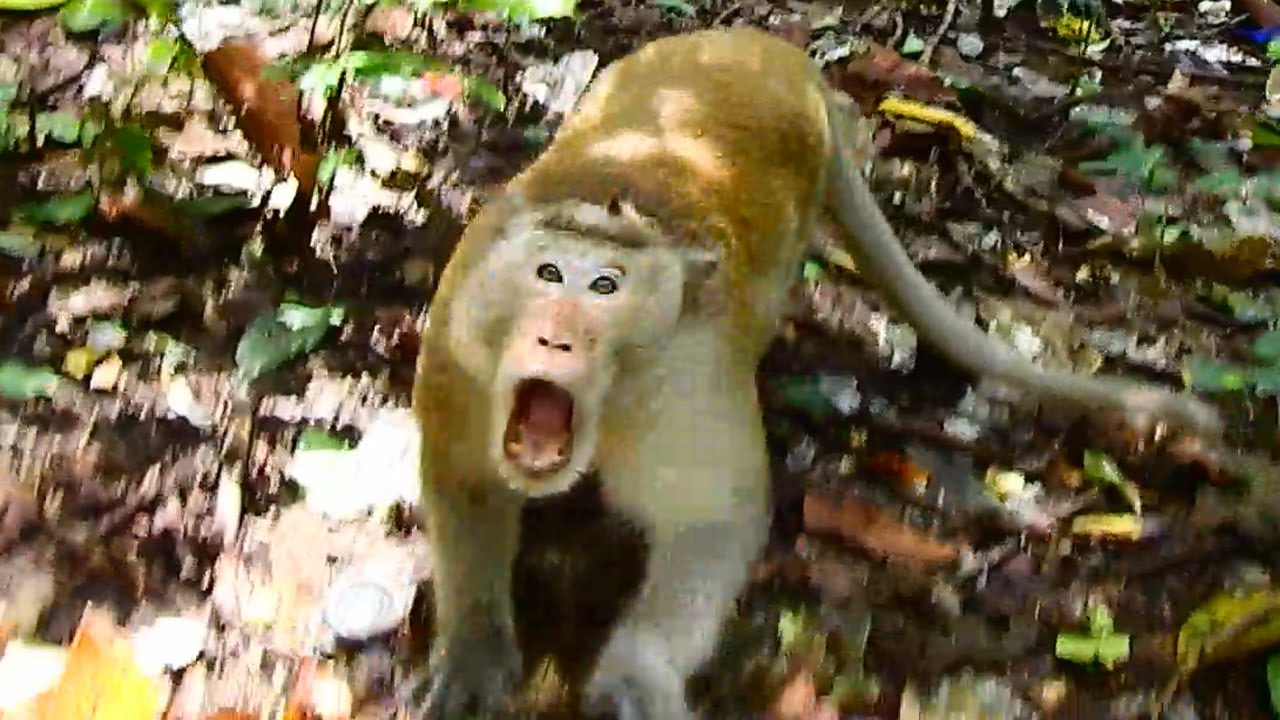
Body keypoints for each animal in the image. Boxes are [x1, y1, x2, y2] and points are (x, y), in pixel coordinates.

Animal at [410, 25, 1223, 720]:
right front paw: (477, 649)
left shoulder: (688, 384)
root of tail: (766, 47)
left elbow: (713, 518)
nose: (556, 338)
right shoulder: (459, 354)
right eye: (548, 273)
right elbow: (465, 484)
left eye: (604, 286)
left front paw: (634, 678)